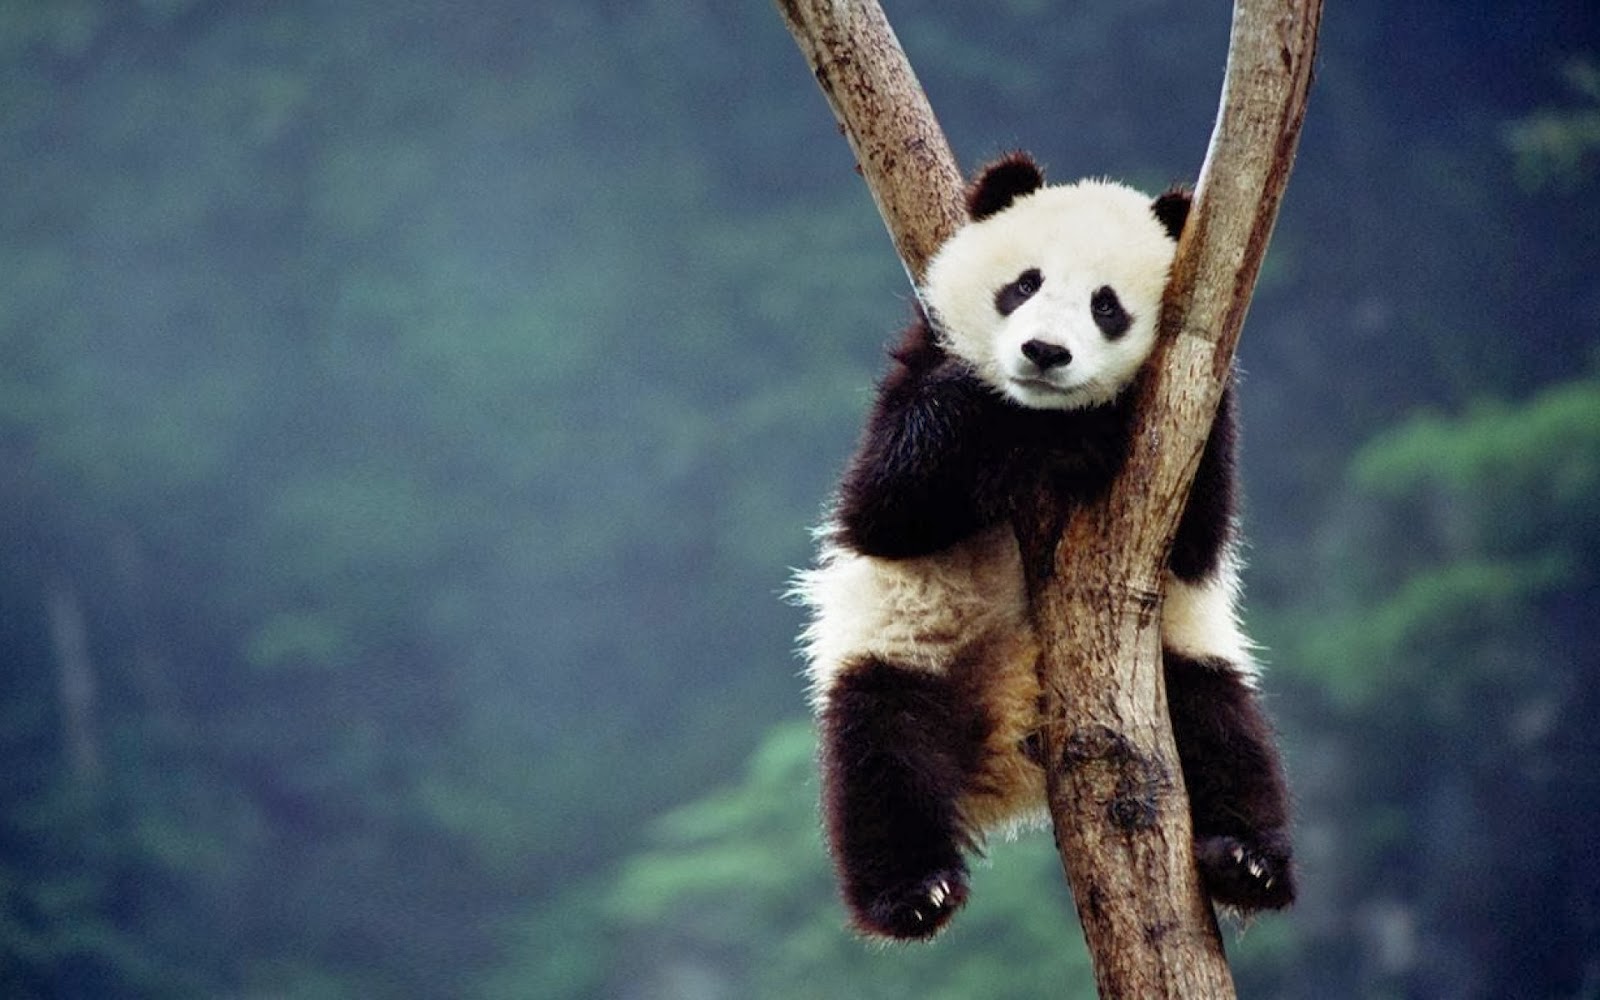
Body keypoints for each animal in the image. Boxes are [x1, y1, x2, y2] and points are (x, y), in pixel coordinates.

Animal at [793, 152, 1295, 941]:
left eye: (1106, 306)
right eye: (1023, 284)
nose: (1044, 353)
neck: (1041, 415)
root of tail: (1010, 756)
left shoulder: (1191, 413)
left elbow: (1197, 538)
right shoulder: (918, 366)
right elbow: (886, 503)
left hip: (1177, 666)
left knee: (1226, 733)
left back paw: (1248, 862)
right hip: (905, 652)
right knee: (879, 759)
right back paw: (915, 892)